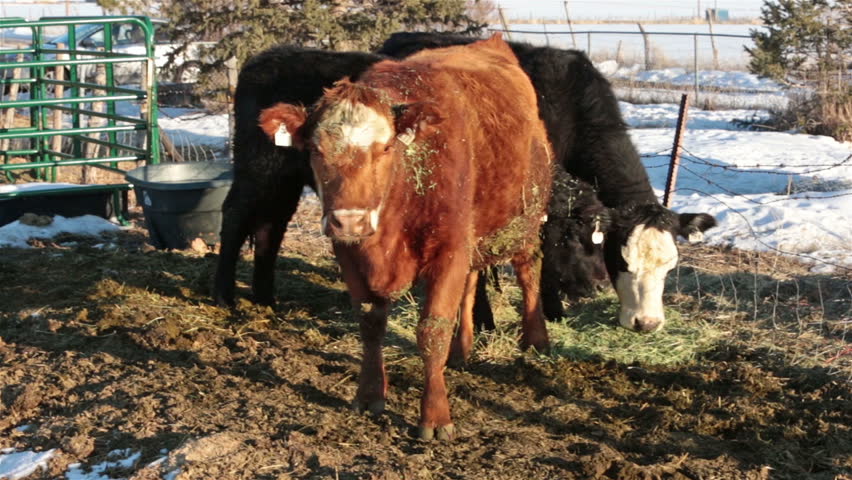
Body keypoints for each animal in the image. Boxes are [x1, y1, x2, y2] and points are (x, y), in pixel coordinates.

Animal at [212, 46, 384, 307]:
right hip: (259, 169)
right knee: (236, 214)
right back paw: (224, 296)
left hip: (284, 181)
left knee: (270, 223)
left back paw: (264, 298)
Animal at [257, 35, 552, 441]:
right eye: (316, 150)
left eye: (384, 147)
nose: (349, 220)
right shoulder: (349, 254)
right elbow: (370, 323)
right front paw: (369, 396)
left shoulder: (448, 251)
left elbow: (432, 332)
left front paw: (435, 416)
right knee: (471, 281)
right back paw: (462, 350)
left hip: (525, 217)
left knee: (528, 270)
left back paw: (536, 342)